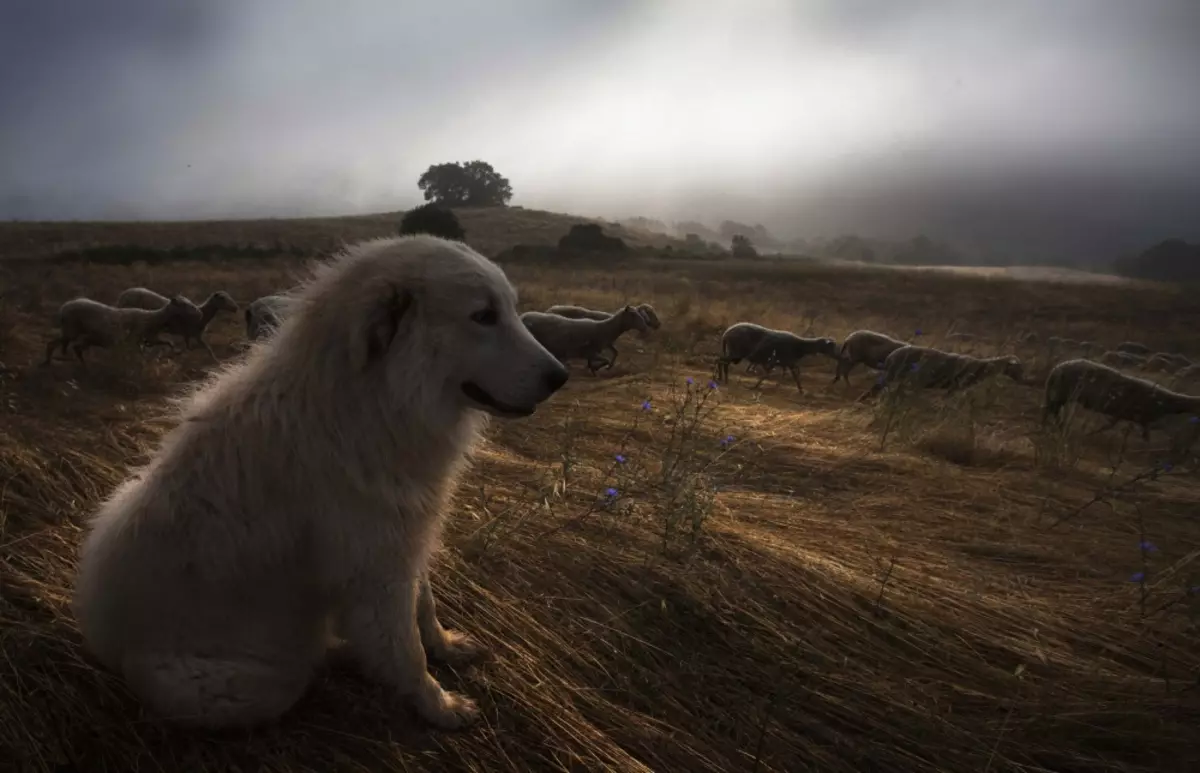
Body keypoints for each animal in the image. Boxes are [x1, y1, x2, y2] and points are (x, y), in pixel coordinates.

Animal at [43, 297, 194, 367]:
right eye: (184, 304)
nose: (195, 309)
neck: (153, 319)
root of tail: (63, 308)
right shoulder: (134, 339)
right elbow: (137, 356)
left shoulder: (150, 338)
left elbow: (168, 342)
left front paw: (176, 351)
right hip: (71, 330)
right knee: (53, 344)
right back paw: (48, 363)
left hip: (85, 335)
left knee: (75, 348)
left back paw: (84, 366)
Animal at [72, 235, 568, 729]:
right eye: (483, 316)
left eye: (510, 309)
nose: (561, 377)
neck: (371, 404)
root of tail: (103, 641)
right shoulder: (376, 572)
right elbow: (406, 650)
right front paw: (439, 707)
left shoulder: (405, 540)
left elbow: (423, 607)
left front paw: (445, 646)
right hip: (249, 685)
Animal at [518, 304, 648, 374]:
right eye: (633, 315)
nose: (645, 327)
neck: (604, 328)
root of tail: (523, 316)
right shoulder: (589, 351)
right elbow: (605, 360)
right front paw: (596, 368)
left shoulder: (596, 350)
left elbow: (612, 355)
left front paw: (594, 368)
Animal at [1041, 357, 1200, 441]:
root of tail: (1056, 369)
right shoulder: (1140, 416)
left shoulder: (1132, 416)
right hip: (1060, 393)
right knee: (1050, 409)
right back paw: (1053, 427)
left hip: (1060, 395)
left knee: (1051, 410)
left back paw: (1056, 426)